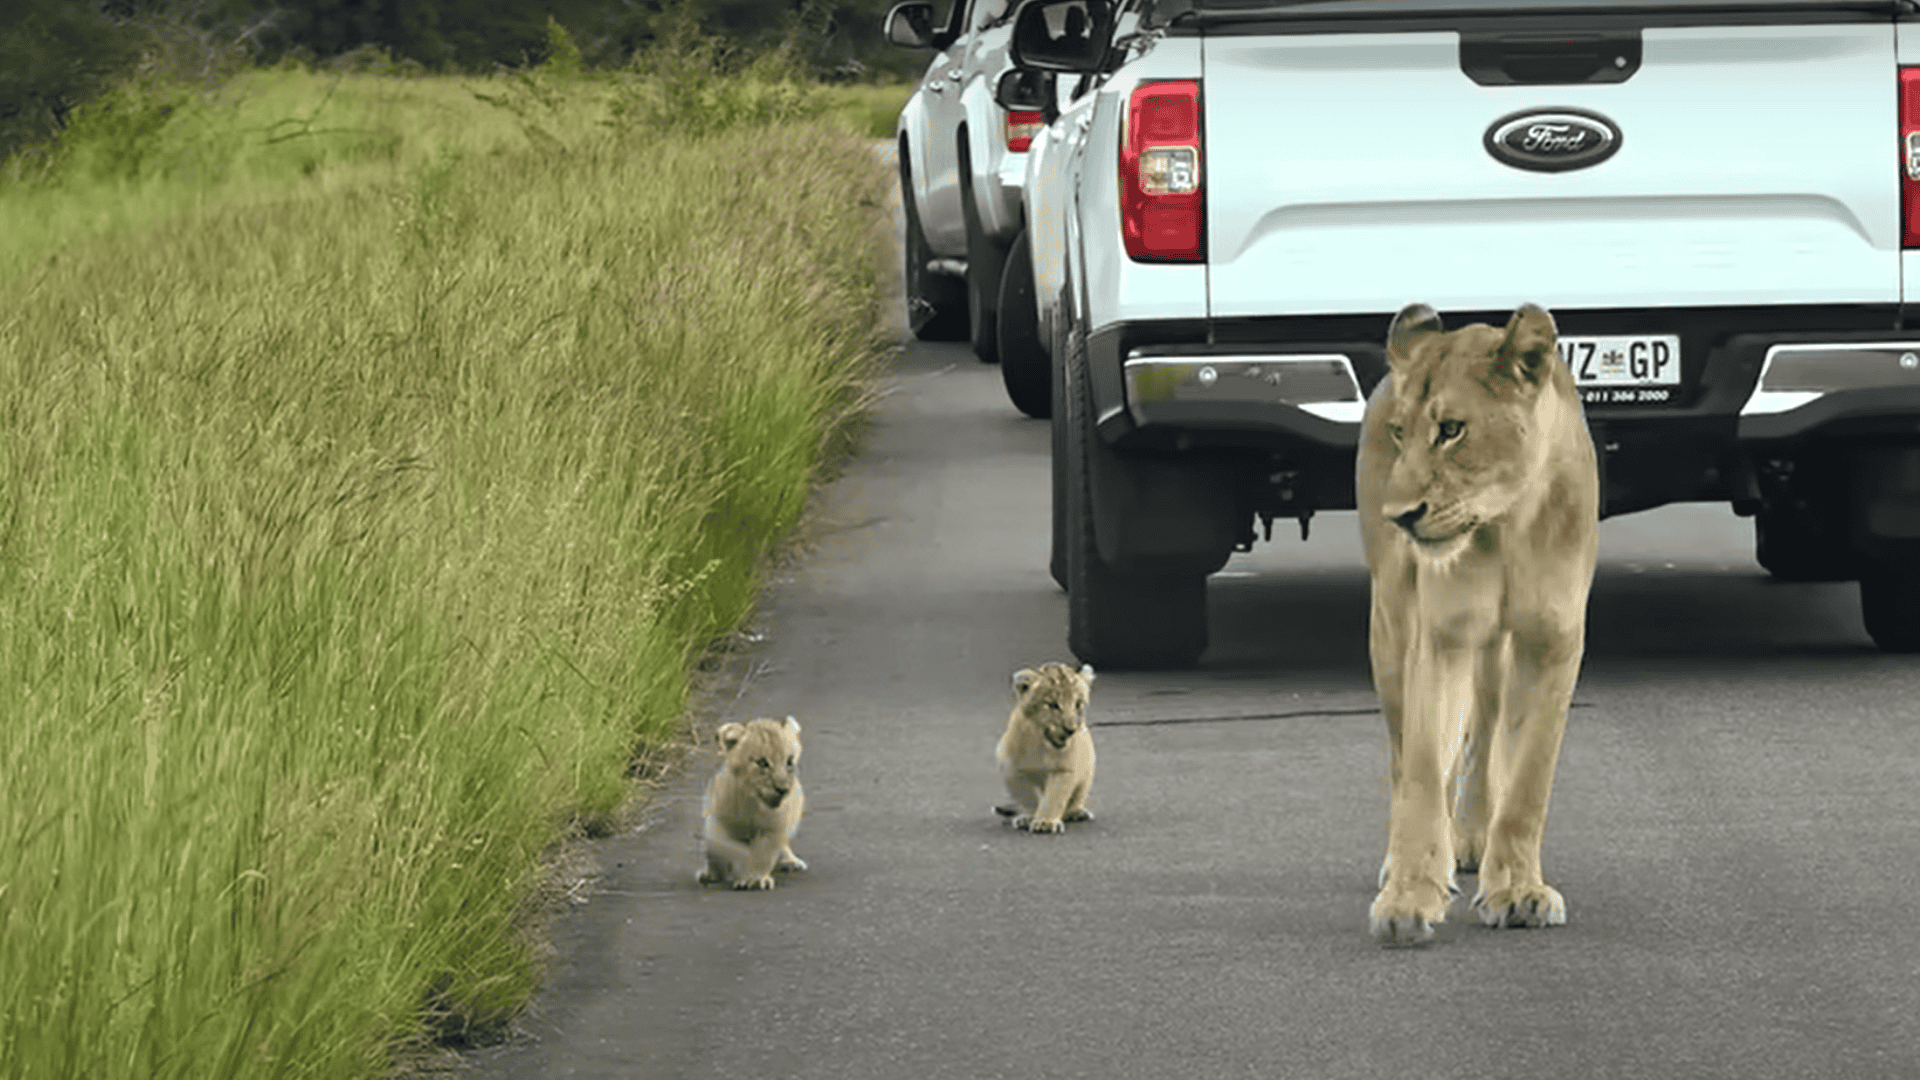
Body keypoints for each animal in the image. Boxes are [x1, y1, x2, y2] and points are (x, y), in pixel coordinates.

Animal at [697, 716, 807, 890]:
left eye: (789, 761)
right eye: (762, 763)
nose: (782, 789)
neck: (752, 804)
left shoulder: (774, 827)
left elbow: (764, 855)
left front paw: (754, 878)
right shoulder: (718, 820)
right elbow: (722, 847)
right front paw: (718, 874)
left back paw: (791, 862)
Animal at [993, 663, 1096, 834]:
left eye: (1078, 704)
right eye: (1053, 705)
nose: (1070, 729)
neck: (1042, 746)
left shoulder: (1064, 769)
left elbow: (1054, 797)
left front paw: (1045, 822)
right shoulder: (1011, 768)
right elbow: (1027, 796)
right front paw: (1029, 817)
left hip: (1086, 774)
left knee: (1075, 799)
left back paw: (1076, 812)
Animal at [1355, 302, 1599, 945]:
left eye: (1452, 430)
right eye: (1401, 432)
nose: (1400, 516)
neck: (1507, 524)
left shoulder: (1552, 643)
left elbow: (1527, 781)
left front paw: (1516, 890)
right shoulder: (1442, 637)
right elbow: (1422, 770)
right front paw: (1409, 898)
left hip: (1495, 650)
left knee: (1485, 736)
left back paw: (1473, 841)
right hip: (1391, 626)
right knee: (1406, 754)